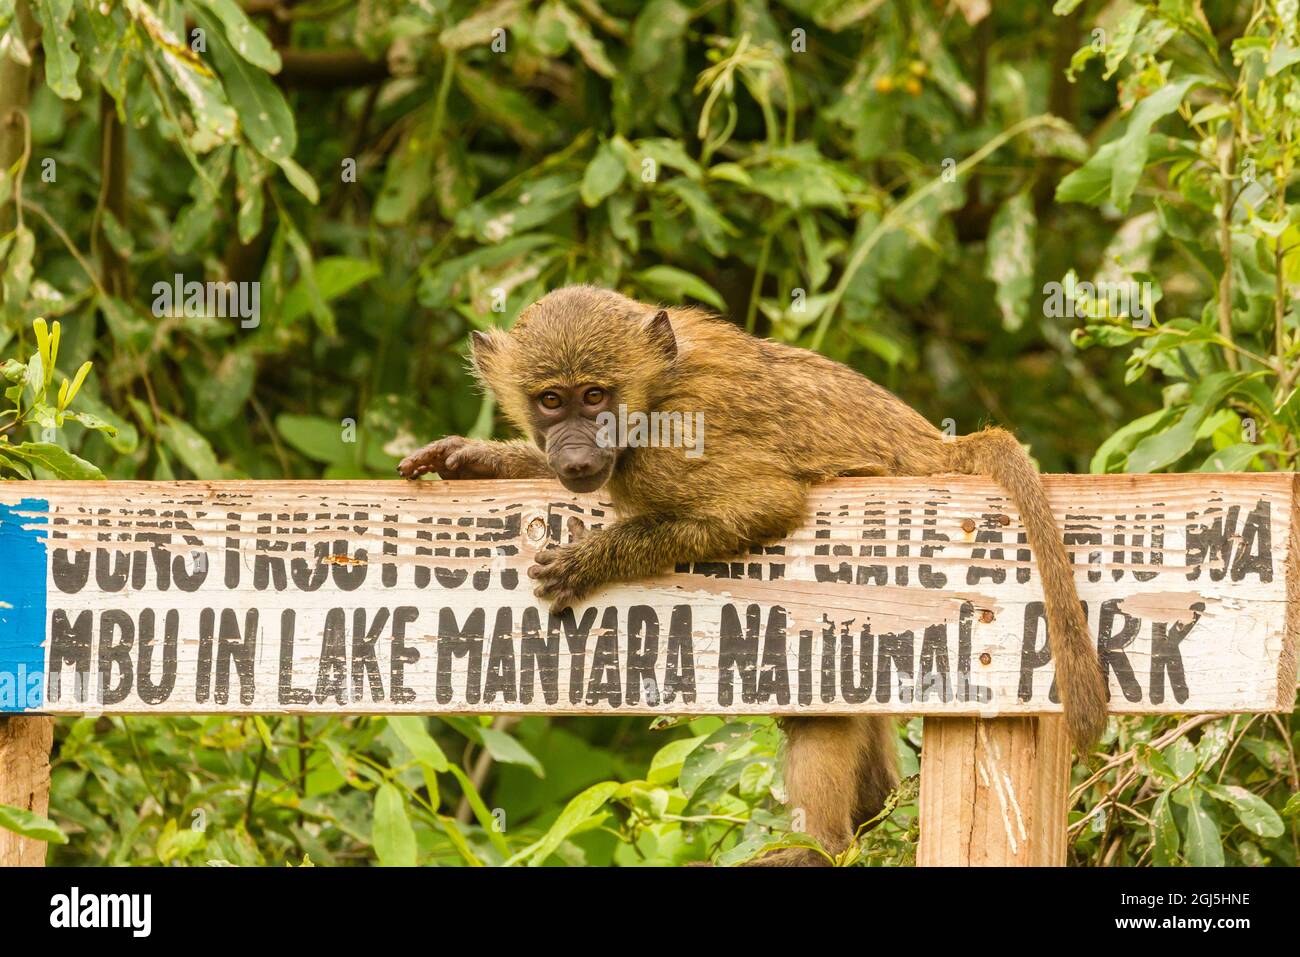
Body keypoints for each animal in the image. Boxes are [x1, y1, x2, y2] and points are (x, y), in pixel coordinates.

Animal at [399, 285, 1109, 865]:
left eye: (595, 395)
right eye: (551, 401)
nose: (574, 457)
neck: (657, 386)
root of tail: (938, 446)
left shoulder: (665, 453)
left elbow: (766, 503)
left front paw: (585, 561)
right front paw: (475, 458)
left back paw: (817, 848)